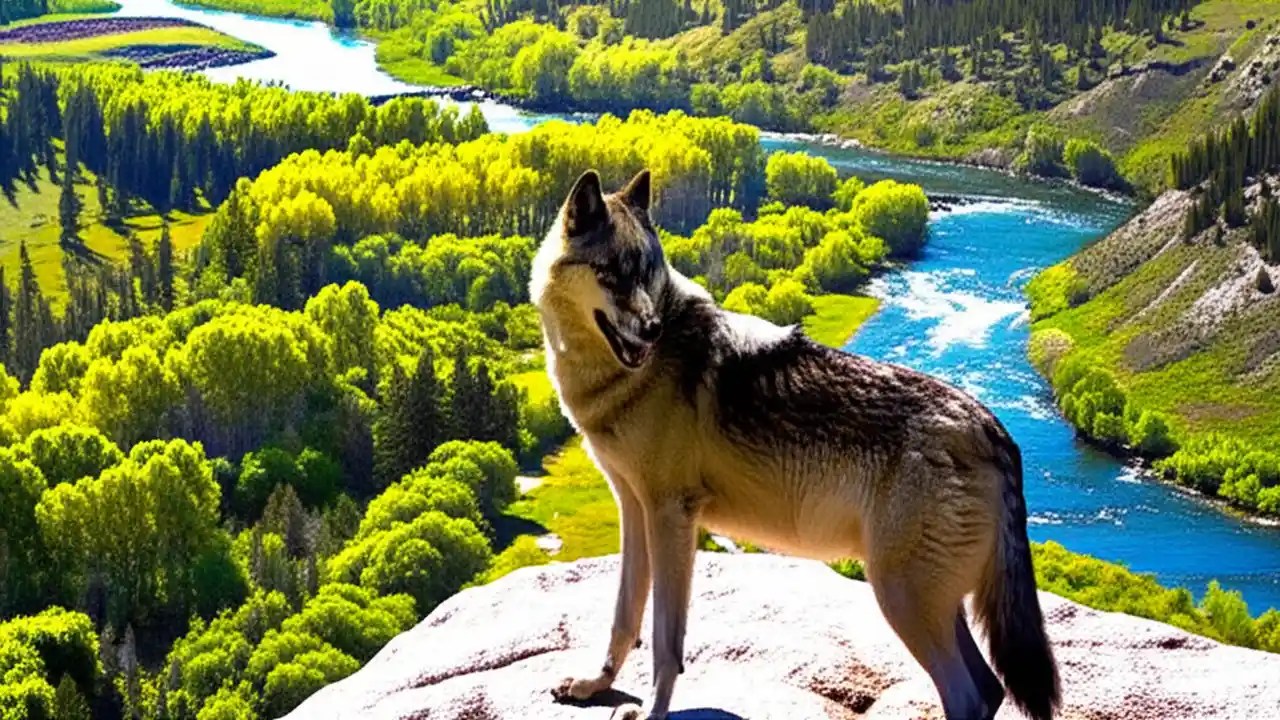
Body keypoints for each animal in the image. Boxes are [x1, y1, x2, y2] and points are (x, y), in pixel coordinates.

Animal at [529, 168, 1061, 720]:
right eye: (612, 274)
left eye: (648, 272)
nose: (652, 328)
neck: (625, 376)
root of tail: (996, 431)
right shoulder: (634, 509)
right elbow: (624, 614)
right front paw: (596, 684)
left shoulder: (672, 516)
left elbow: (664, 640)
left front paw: (653, 711)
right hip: (926, 600)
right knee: (992, 687)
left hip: (900, 594)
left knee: (969, 694)